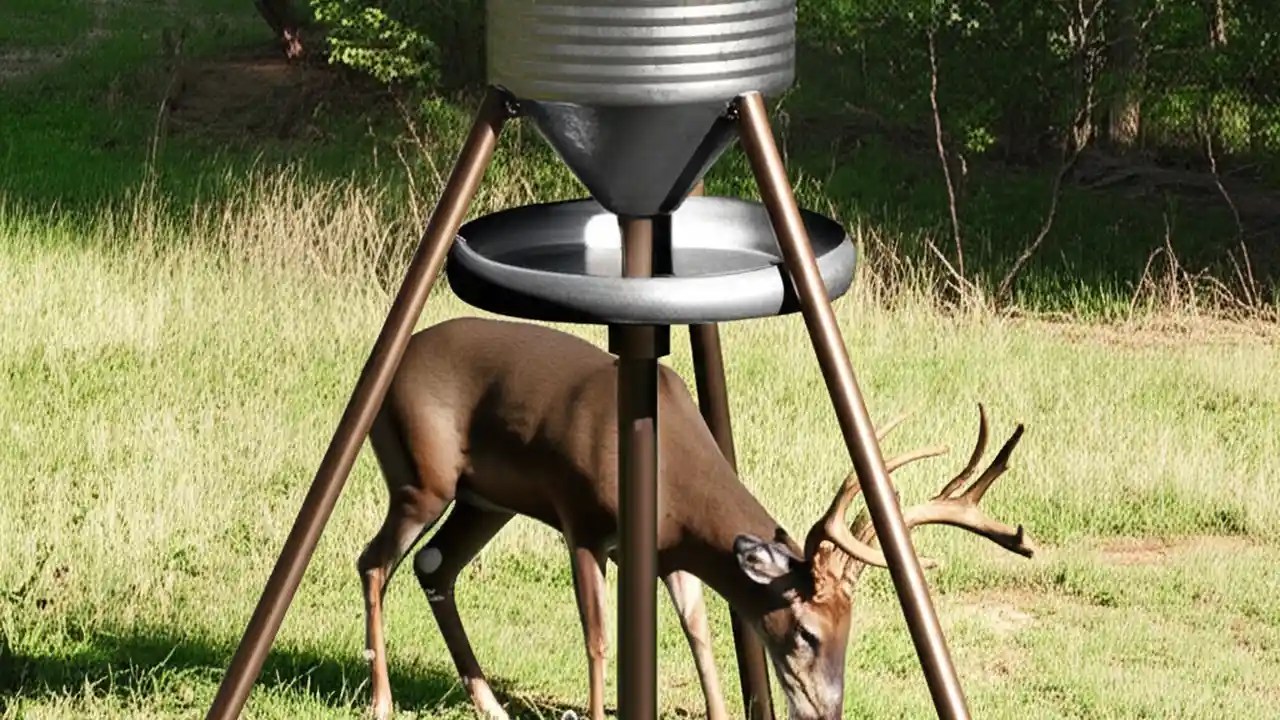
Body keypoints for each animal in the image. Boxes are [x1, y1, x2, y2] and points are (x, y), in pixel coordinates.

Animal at [358, 316, 1035, 720]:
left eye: (851, 630)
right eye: (808, 633)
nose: (827, 711)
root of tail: (386, 368)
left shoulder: (669, 551)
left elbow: (700, 633)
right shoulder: (581, 520)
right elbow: (598, 637)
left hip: (483, 500)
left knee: (433, 566)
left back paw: (490, 706)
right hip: (421, 476)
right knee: (374, 562)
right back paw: (383, 700)